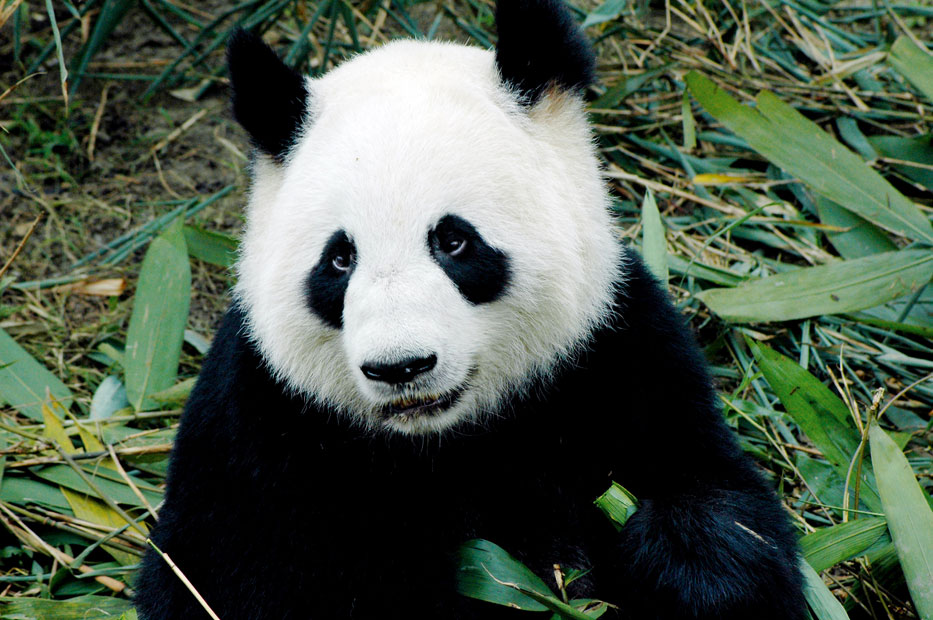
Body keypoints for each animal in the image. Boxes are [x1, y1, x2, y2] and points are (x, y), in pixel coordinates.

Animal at [135, 1, 805, 618]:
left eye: (454, 241)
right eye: (339, 259)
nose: (400, 367)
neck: (442, 437)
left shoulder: (612, 355)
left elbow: (722, 510)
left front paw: (675, 569)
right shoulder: (260, 422)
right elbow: (230, 579)